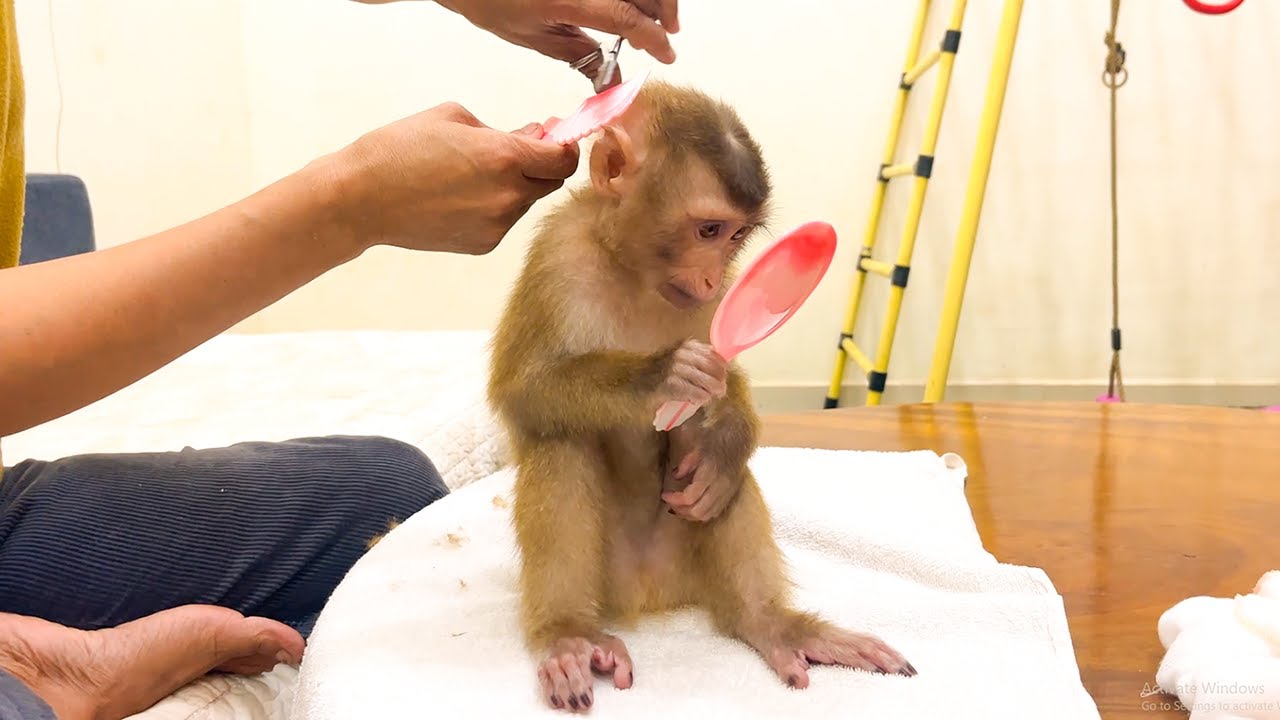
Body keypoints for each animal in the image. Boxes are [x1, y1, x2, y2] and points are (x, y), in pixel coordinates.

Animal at [486, 81, 916, 713]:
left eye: (736, 237)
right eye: (707, 230)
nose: (713, 277)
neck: (632, 270)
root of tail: (648, 596)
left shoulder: (722, 305)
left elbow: (724, 382)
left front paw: (726, 441)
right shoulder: (558, 258)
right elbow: (521, 391)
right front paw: (663, 375)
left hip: (686, 557)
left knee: (710, 467)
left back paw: (770, 620)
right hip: (608, 579)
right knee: (559, 441)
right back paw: (568, 634)